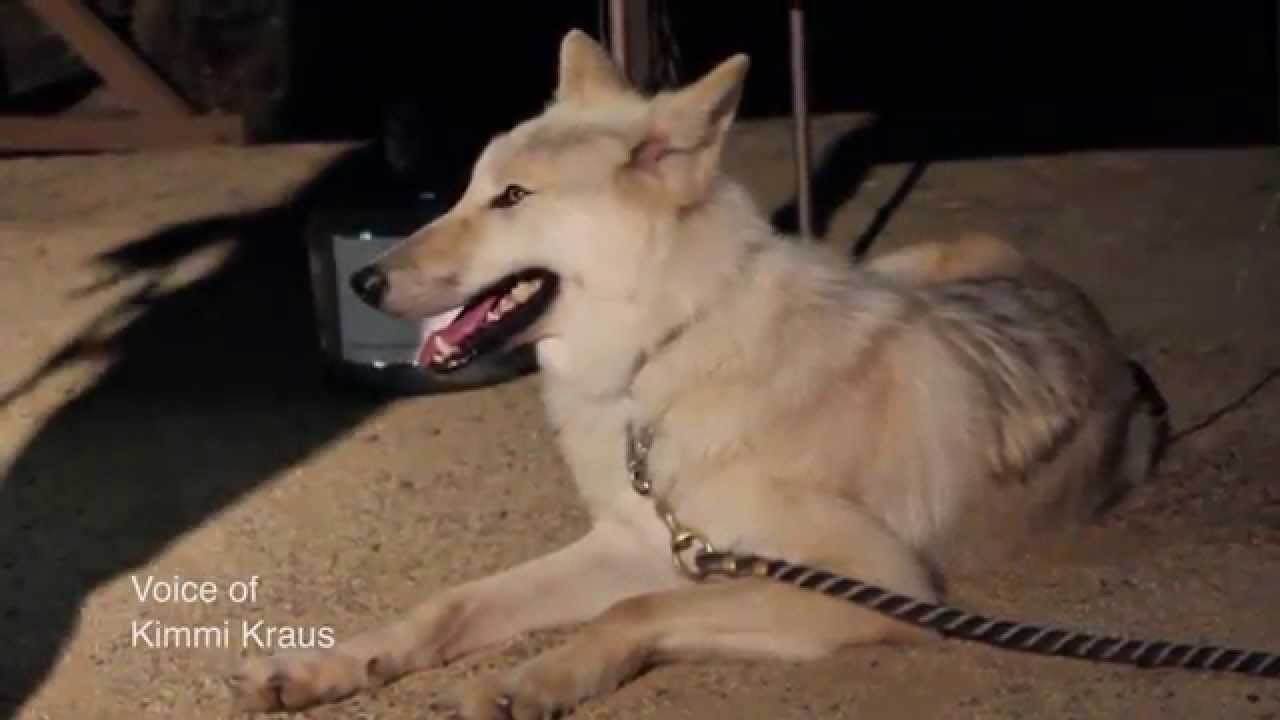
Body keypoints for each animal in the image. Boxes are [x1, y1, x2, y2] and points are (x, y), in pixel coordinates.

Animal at [233, 30, 1167, 718]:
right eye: (467, 190)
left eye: (512, 199)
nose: (364, 281)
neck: (658, 359)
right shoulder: (631, 544)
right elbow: (452, 604)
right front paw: (336, 665)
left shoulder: (877, 587)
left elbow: (640, 610)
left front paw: (537, 677)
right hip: (897, 265)